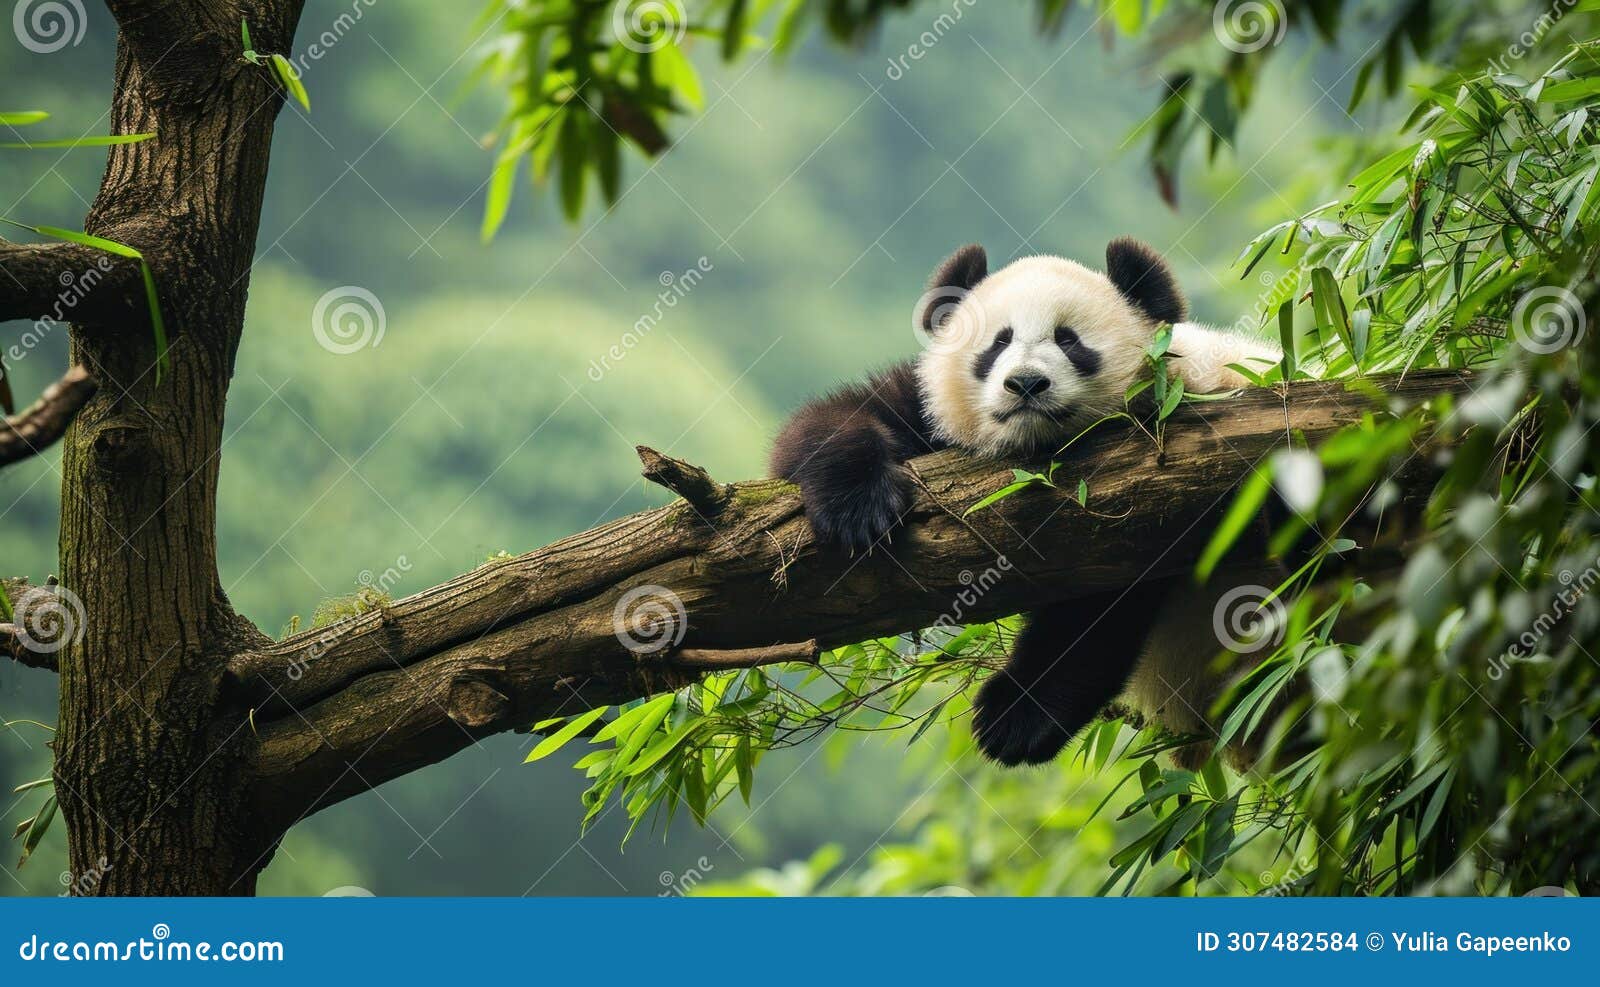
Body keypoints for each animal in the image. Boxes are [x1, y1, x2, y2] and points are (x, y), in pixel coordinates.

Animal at [771, 238, 1284, 768]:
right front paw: (859, 509)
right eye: (999, 342)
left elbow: (1096, 617)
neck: (1033, 452)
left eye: (1068, 340)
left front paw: (1013, 721)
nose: (1026, 384)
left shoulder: (1163, 480)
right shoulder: (928, 412)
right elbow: (830, 423)